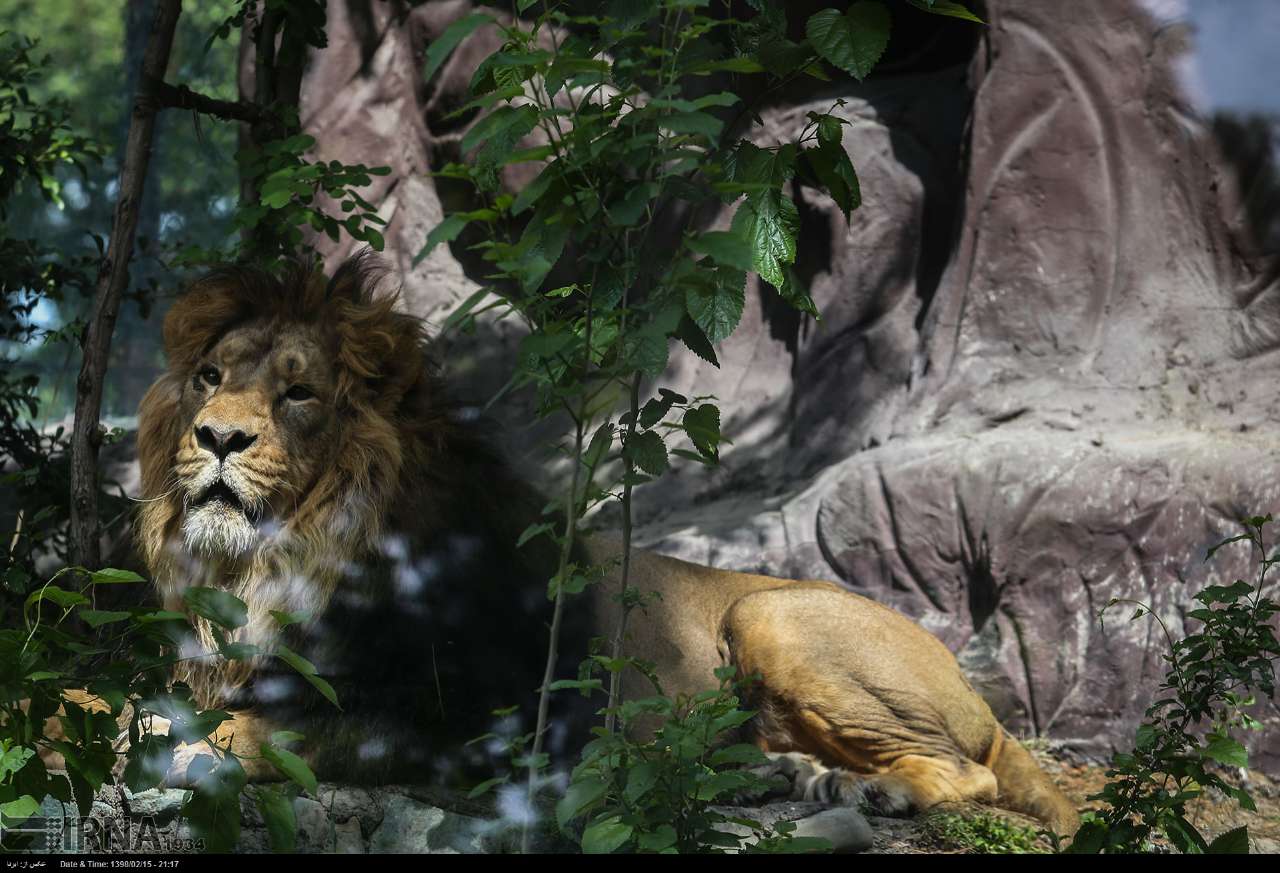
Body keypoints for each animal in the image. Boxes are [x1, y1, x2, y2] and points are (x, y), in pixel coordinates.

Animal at [133, 255, 1079, 837]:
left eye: (297, 393)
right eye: (210, 378)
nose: (217, 436)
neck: (276, 562)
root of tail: (975, 688)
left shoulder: (465, 725)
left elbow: (260, 731)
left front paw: (169, 741)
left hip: (771, 615)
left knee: (967, 771)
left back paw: (872, 788)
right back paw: (784, 777)